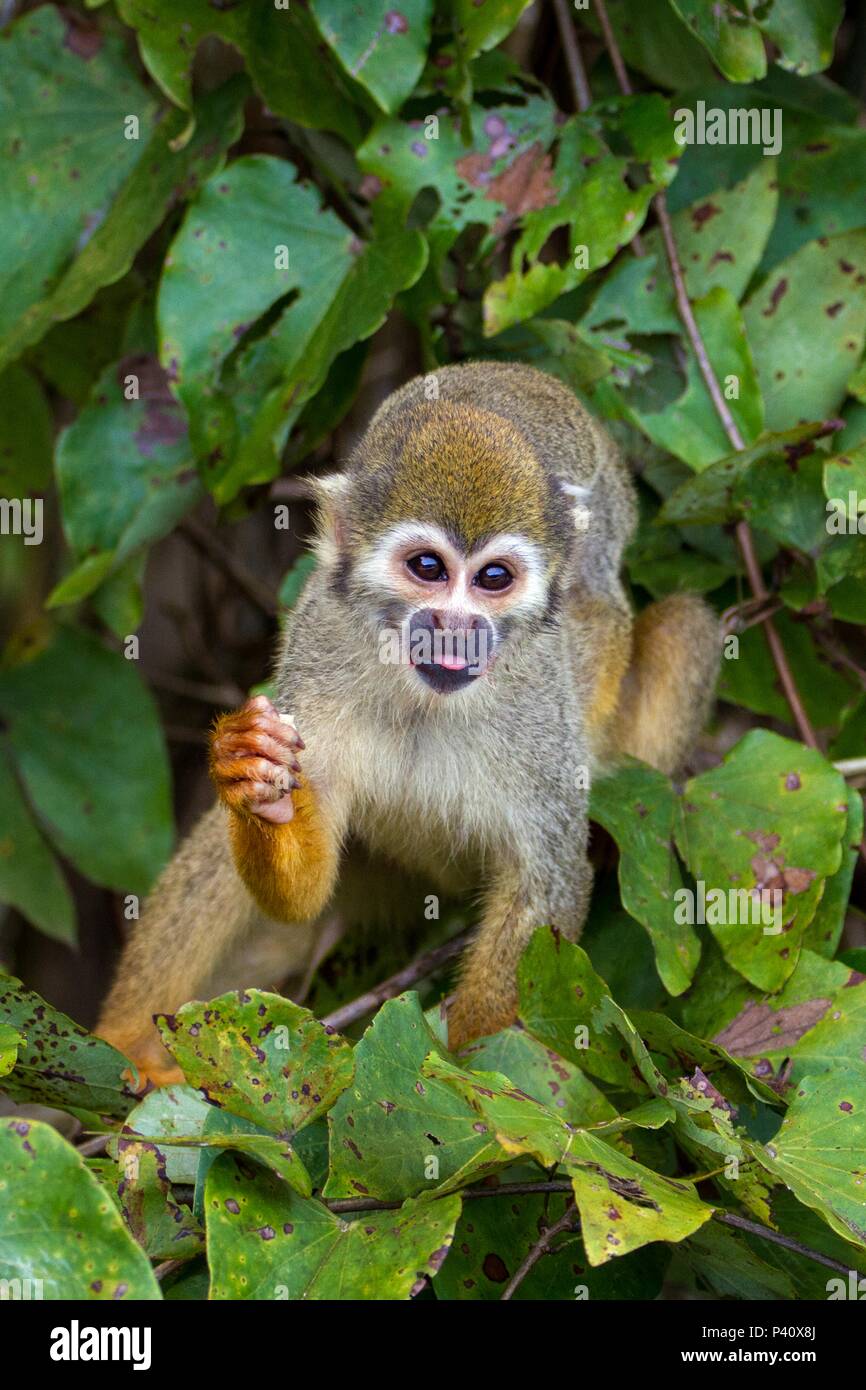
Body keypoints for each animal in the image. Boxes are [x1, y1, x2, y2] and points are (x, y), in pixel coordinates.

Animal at [96, 361, 721, 1088]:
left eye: (493, 579)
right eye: (428, 569)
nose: (455, 627)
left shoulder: (544, 702)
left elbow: (543, 886)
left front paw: (477, 1070)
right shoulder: (319, 644)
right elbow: (299, 892)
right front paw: (258, 783)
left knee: (678, 625)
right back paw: (124, 1043)